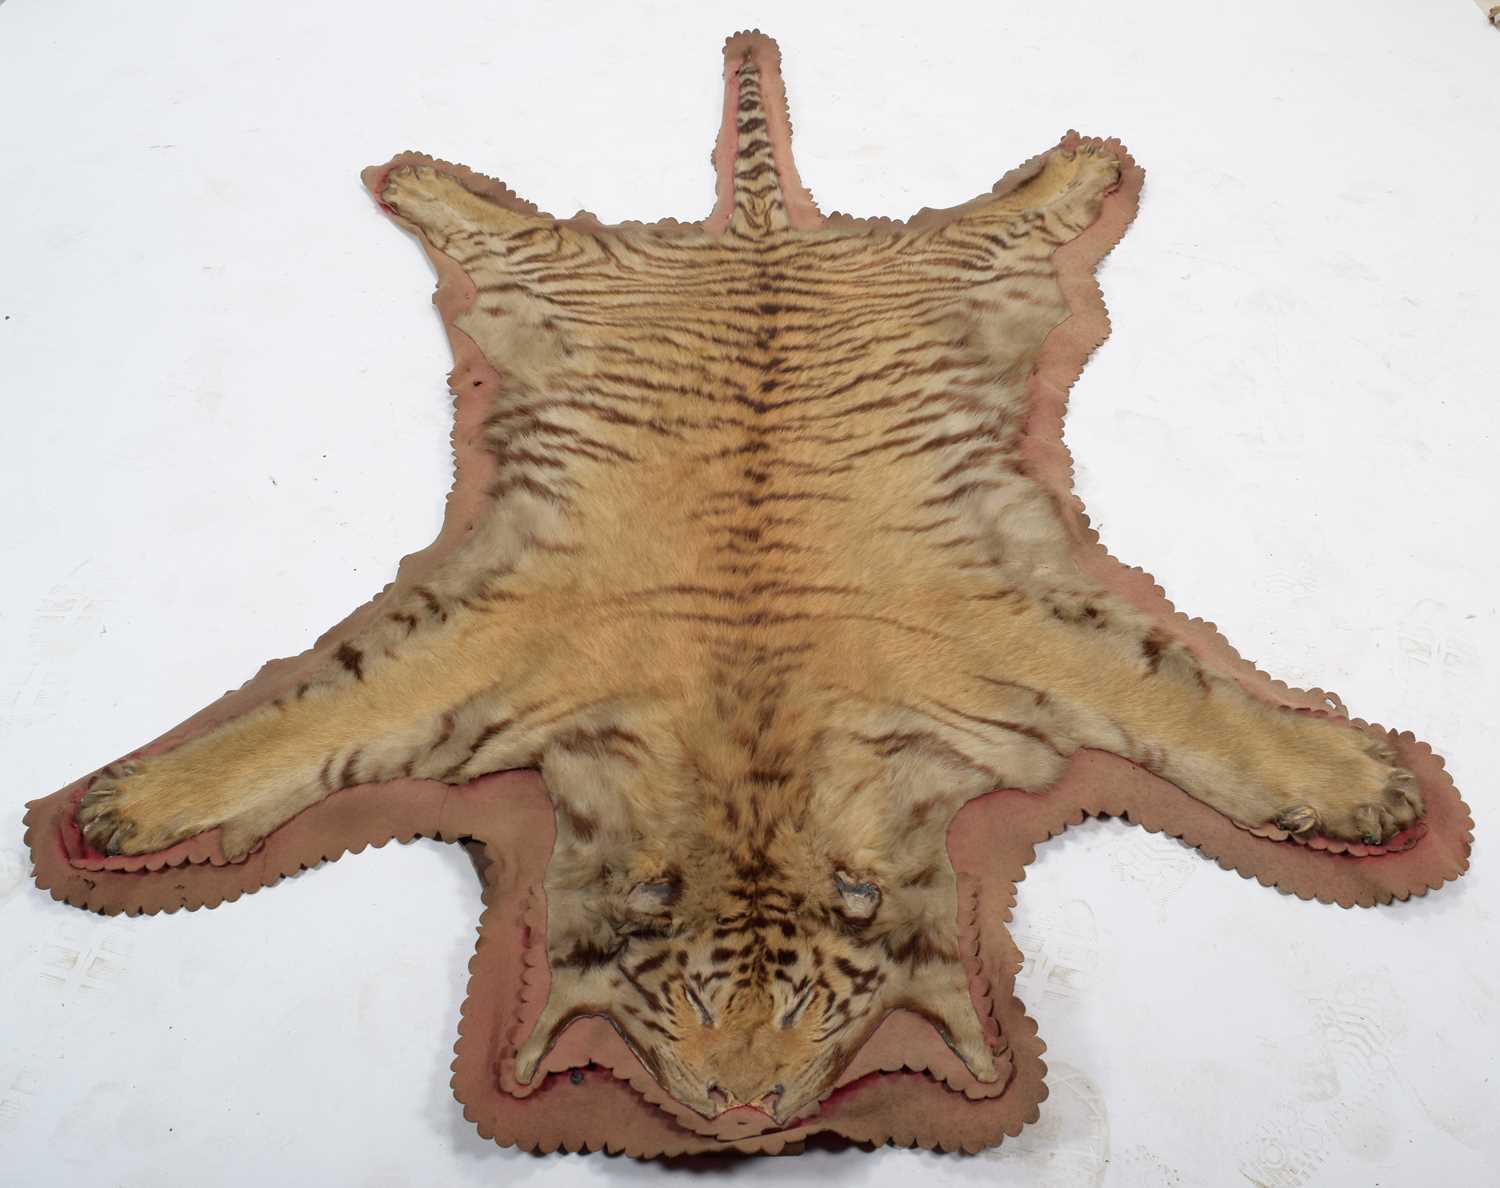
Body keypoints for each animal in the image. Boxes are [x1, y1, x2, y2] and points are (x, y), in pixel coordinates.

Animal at [75, 31, 1422, 1123]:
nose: (741, 1115)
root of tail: (762, 242)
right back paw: (419, 175)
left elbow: (1180, 706)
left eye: (814, 1019)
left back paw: (1086, 163)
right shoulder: (486, 645)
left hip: (956, 263)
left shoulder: (1019, 633)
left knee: (1004, 210)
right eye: (682, 1009)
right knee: (508, 221)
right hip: (569, 270)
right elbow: (313, 721)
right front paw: (134, 805)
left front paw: (1356, 784)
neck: (756, 754)